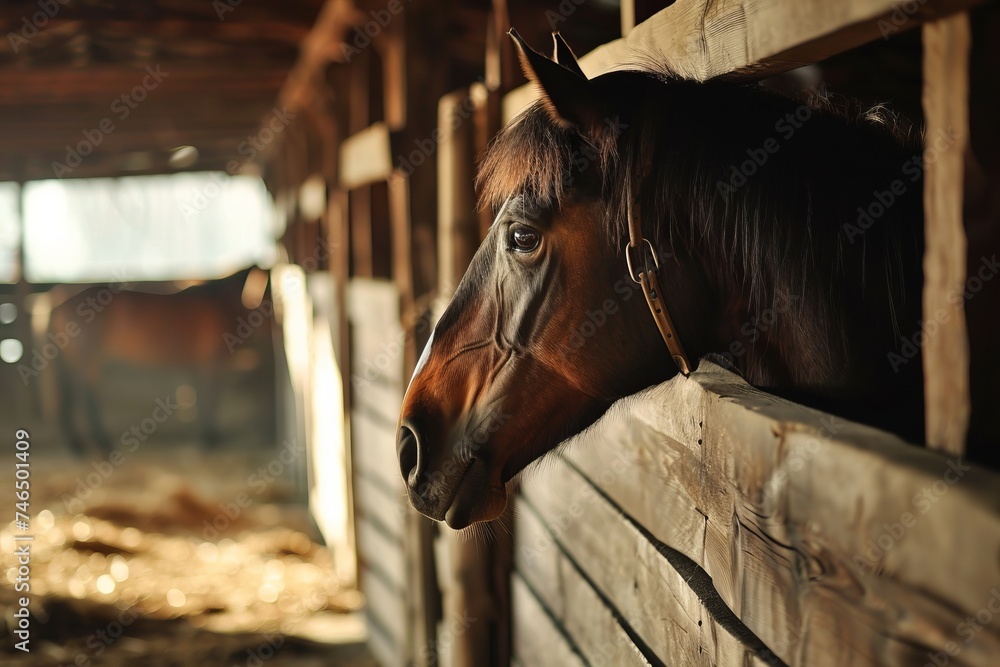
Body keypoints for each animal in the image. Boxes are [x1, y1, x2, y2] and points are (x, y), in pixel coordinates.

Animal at [45, 265, 270, 456]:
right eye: (267, 289)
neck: (220, 301)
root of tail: (58, 307)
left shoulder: (196, 365)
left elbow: (201, 397)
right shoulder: (213, 364)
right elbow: (211, 398)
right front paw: (210, 439)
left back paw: (77, 446)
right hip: (88, 361)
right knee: (85, 396)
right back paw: (102, 444)